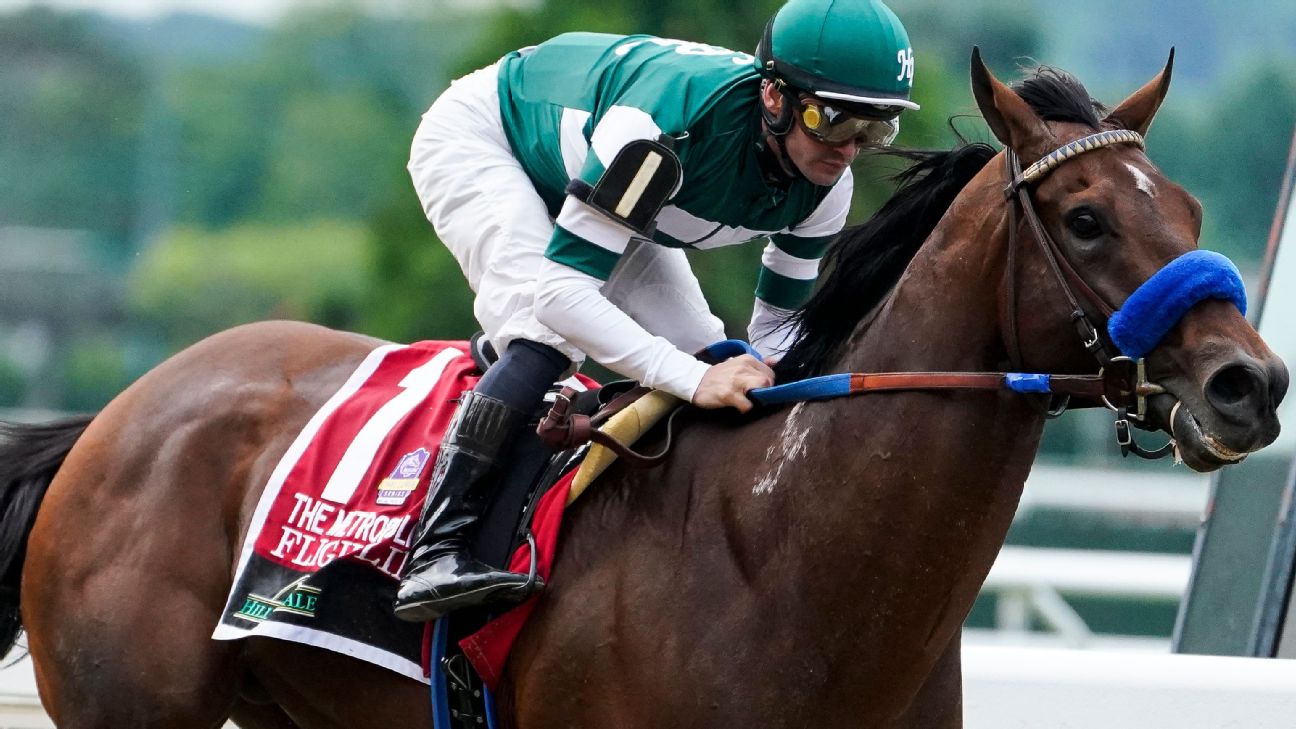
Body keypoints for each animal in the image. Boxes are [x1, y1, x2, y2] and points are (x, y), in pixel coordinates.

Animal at [0, 50, 1285, 728]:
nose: (1251, 384)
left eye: (1191, 212)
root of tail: (118, 416)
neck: (783, 554)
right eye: (1086, 218)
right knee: (536, 308)